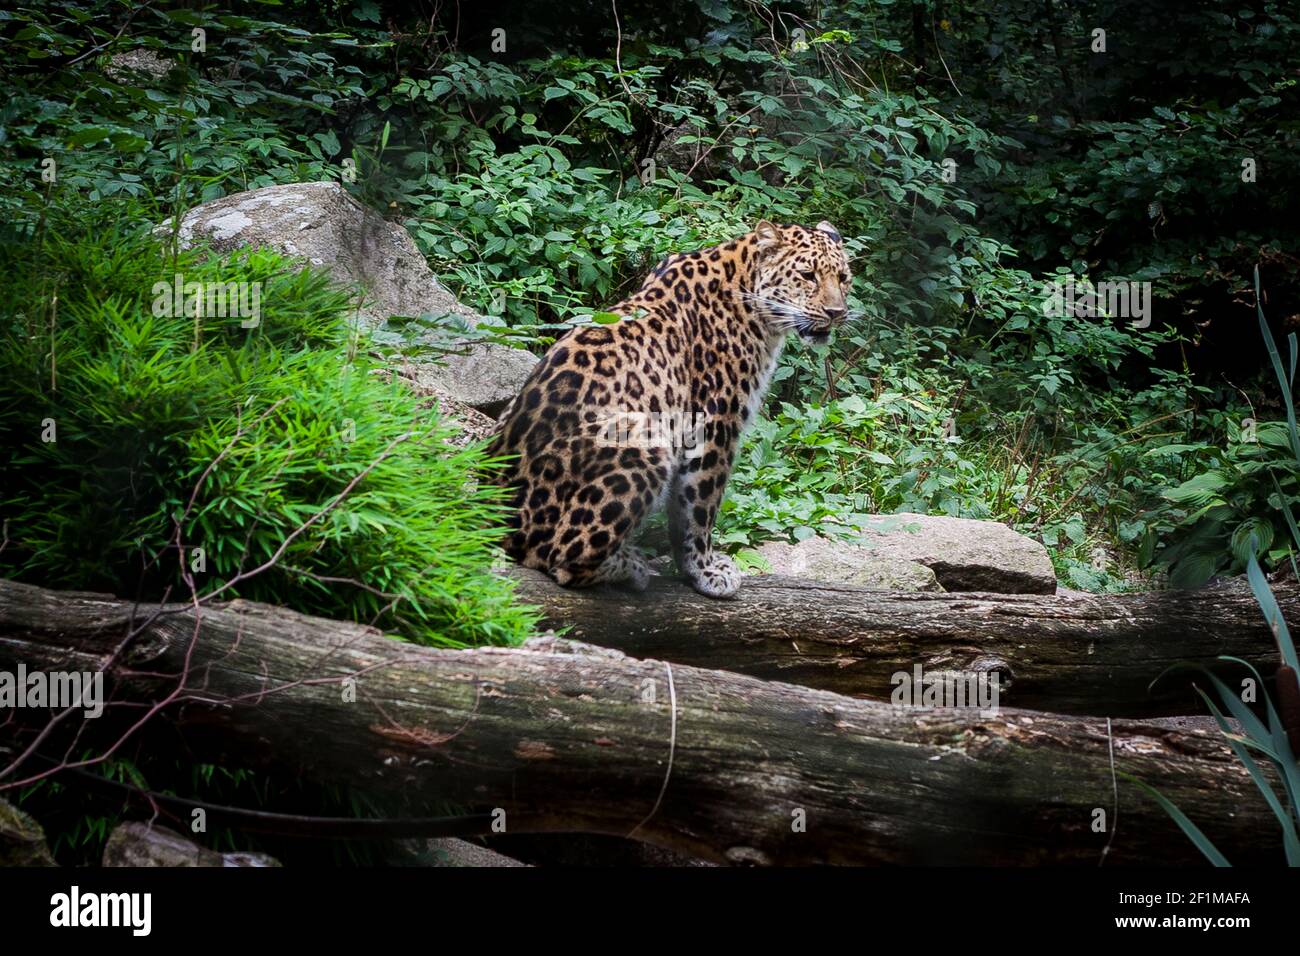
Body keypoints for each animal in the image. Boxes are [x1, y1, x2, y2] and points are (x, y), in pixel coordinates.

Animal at [485, 220, 852, 599]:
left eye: (843, 277)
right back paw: (631, 565)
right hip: (642, 438)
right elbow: (701, 505)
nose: (837, 313)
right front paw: (705, 571)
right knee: (559, 557)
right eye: (807, 275)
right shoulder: (714, 422)